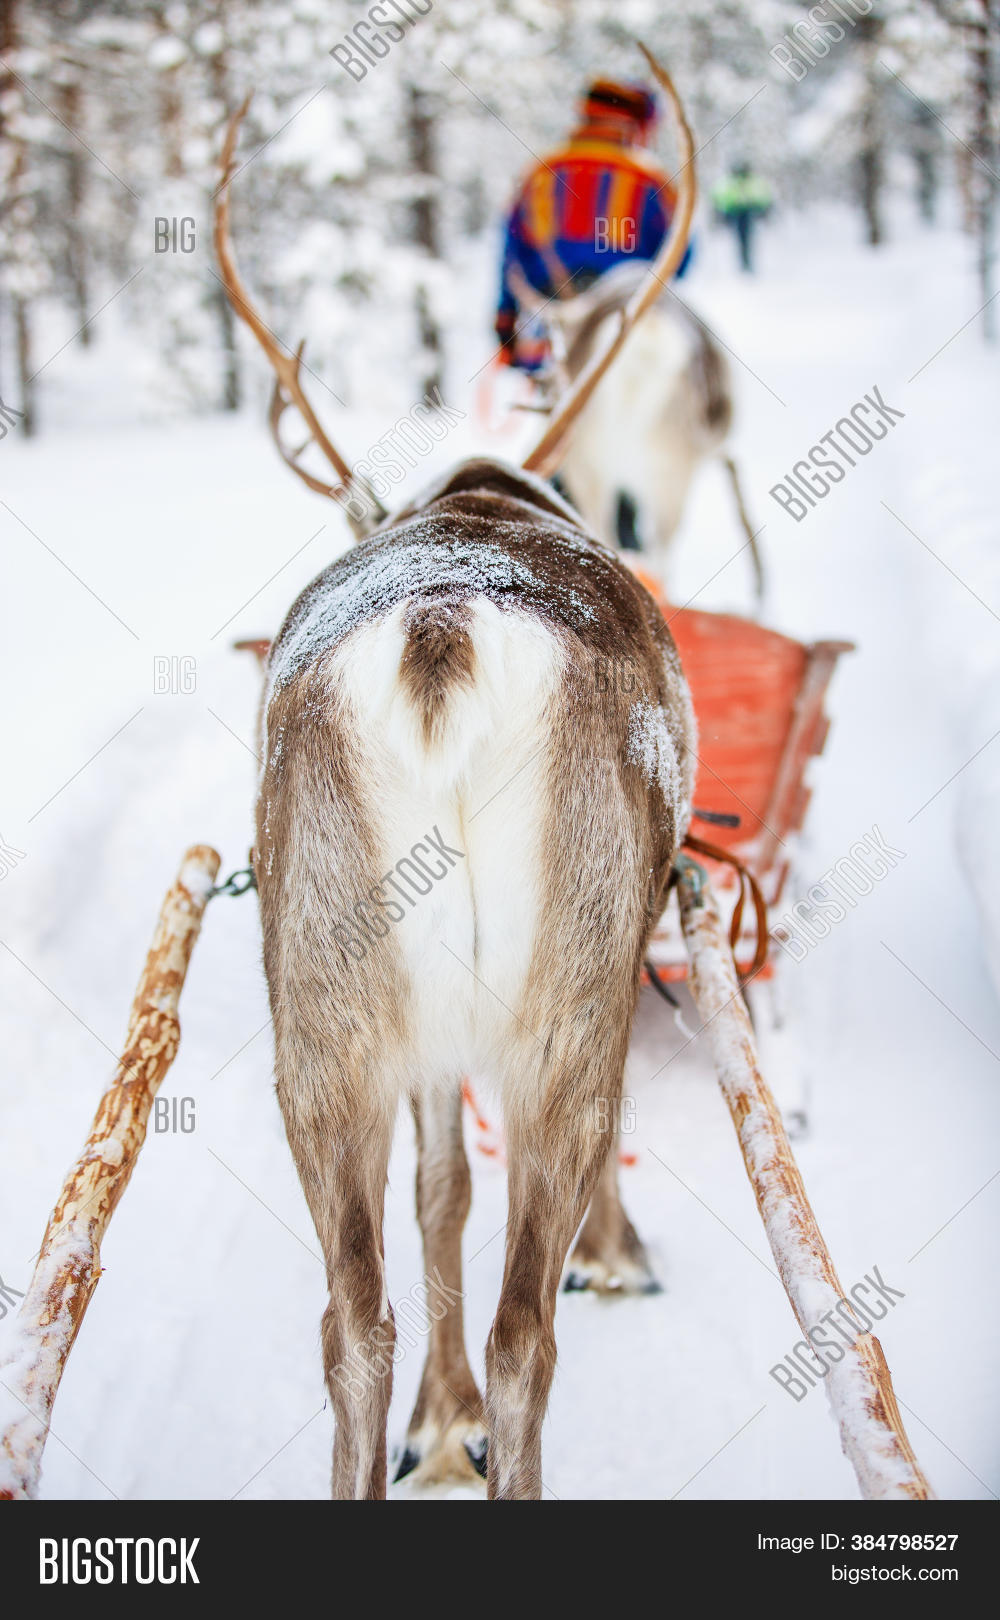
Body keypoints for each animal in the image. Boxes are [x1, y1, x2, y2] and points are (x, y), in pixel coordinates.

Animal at [215, 45, 697, 1500]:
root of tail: (445, 636)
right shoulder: (612, 961)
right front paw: (617, 1258)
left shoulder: (419, 1041)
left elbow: (439, 1197)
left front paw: (440, 1427)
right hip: (561, 1006)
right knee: (528, 1325)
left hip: (323, 1017)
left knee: (349, 1316)